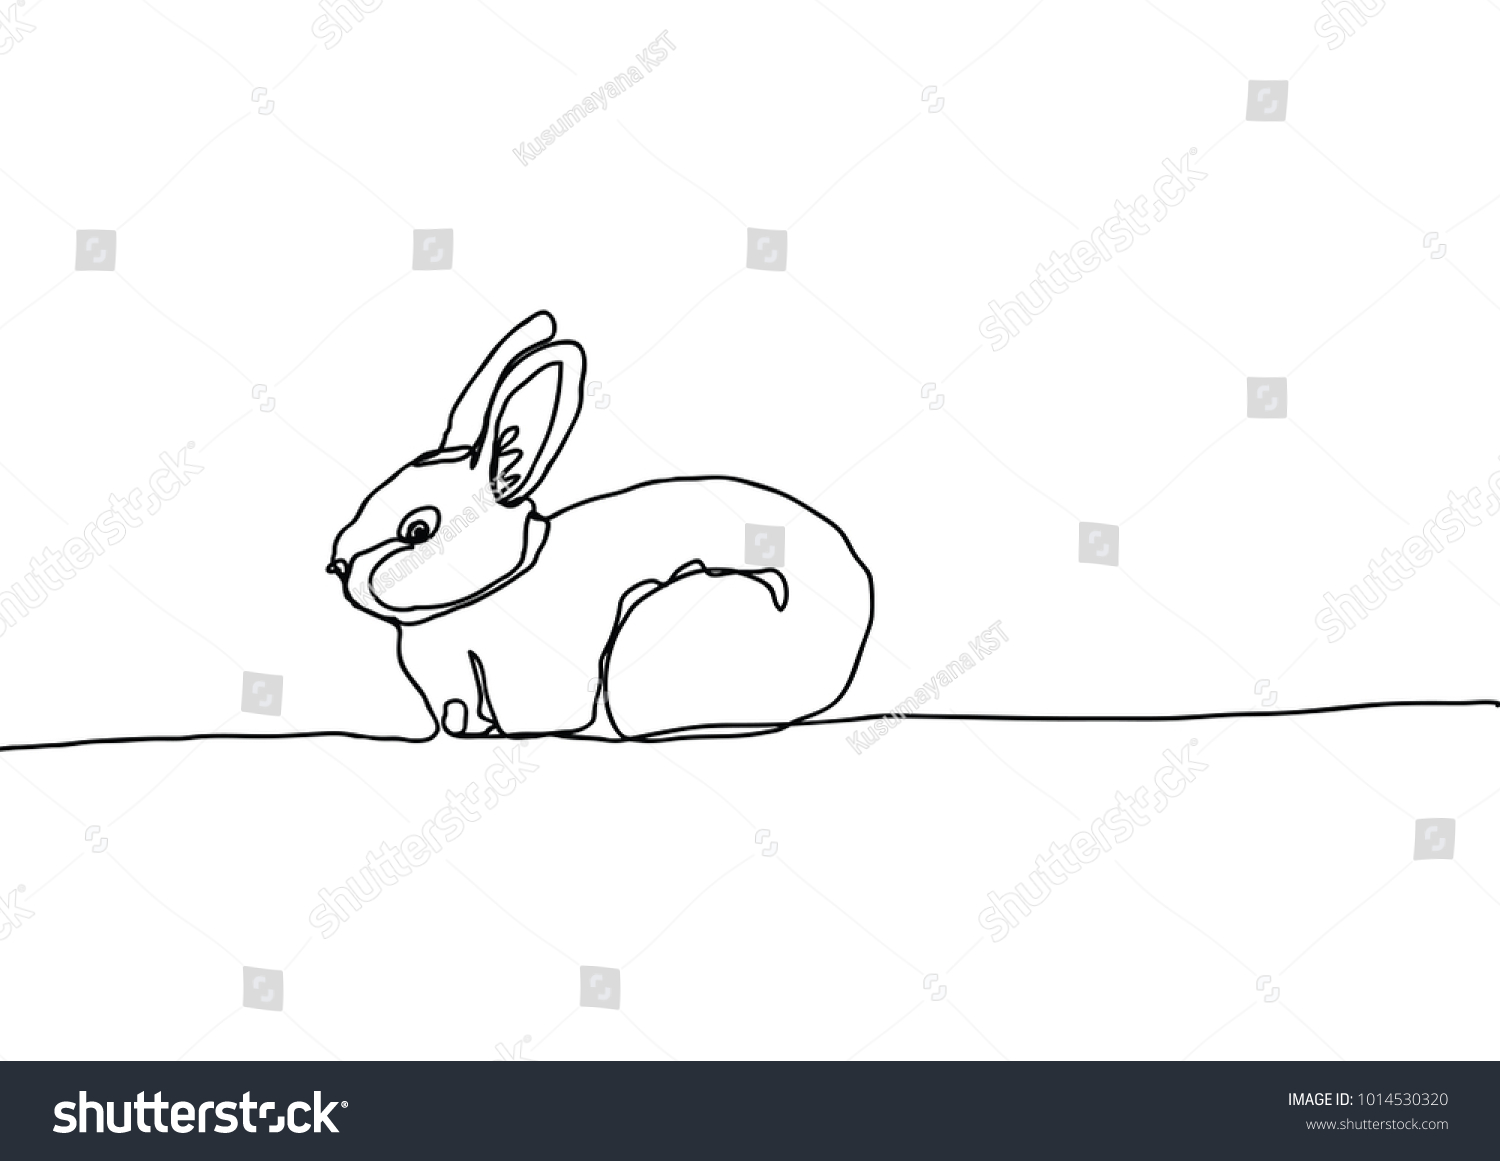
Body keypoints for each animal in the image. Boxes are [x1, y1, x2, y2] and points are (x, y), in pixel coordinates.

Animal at [328, 310, 874, 740]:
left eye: (419, 530)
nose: (338, 564)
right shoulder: (449, 674)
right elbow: (456, 707)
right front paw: (464, 728)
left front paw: (520, 732)